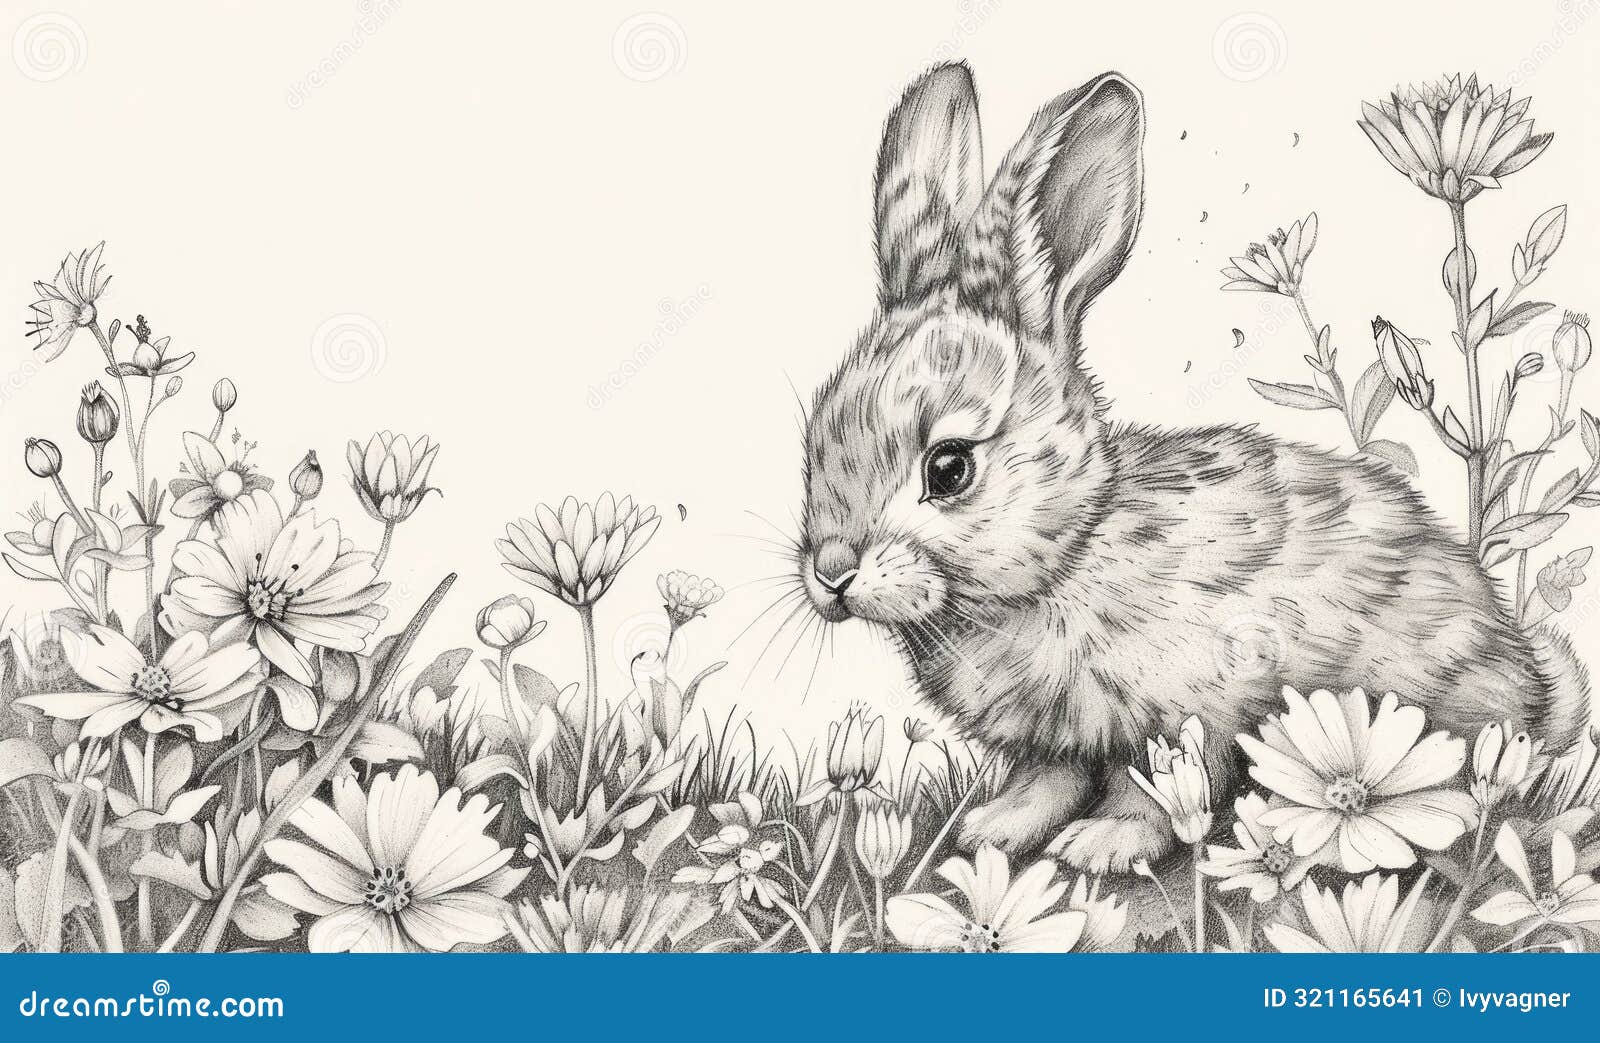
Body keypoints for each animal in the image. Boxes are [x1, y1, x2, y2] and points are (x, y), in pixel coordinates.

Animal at [793, 62, 1591, 874]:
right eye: (815, 437)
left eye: (949, 468)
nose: (832, 573)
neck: (1070, 552)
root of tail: (1534, 691)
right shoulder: (1057, 740)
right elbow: (1048, 778)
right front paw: (997, 828)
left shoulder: (1196, 705)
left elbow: (1158, 787)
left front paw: (1103, 844)